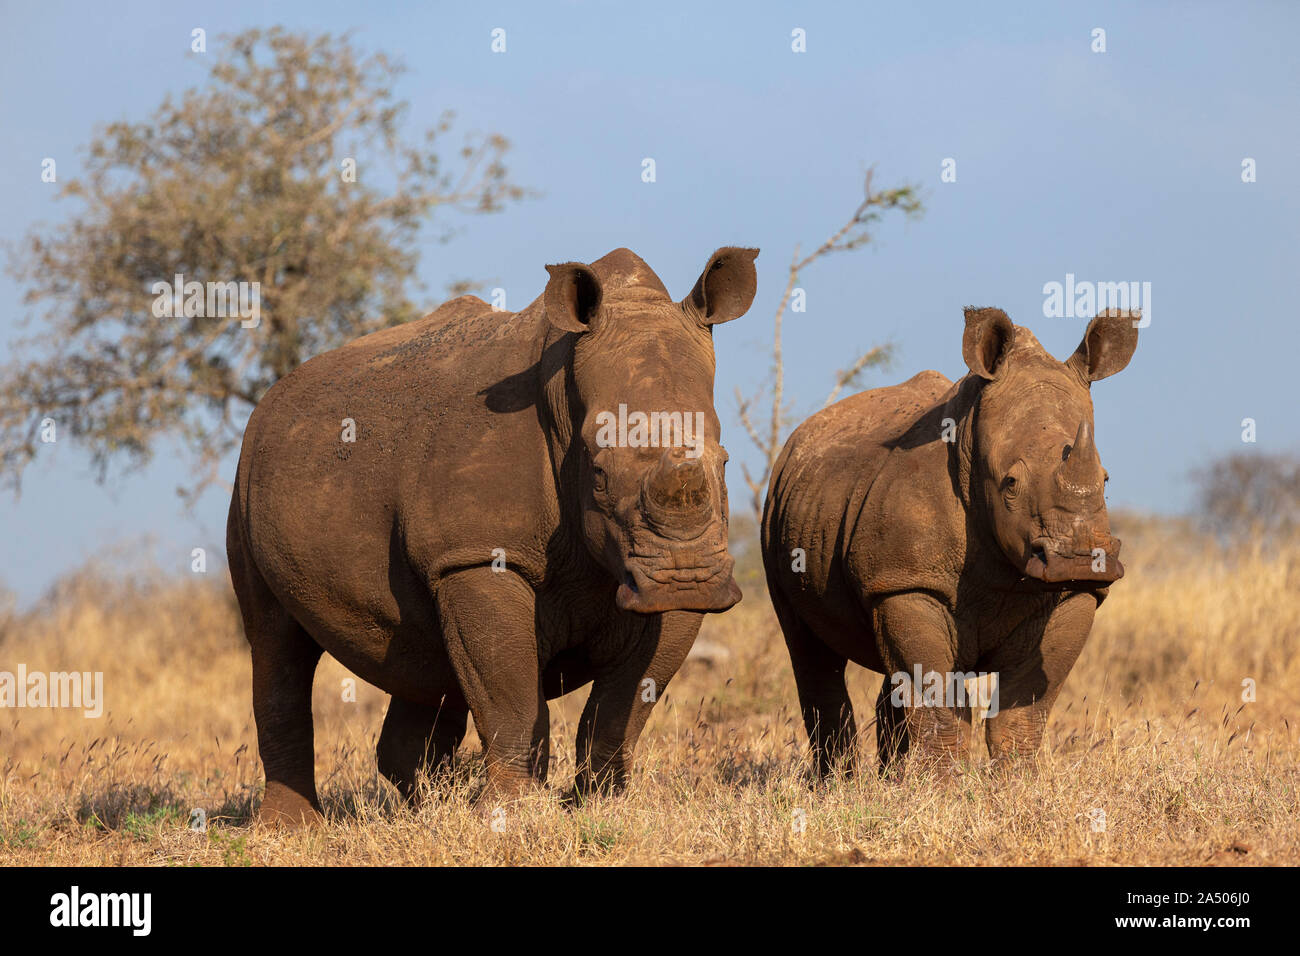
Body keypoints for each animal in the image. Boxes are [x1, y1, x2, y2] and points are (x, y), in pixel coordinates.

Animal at [227, 246, 759, 823]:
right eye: (597, 473)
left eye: (724, 463)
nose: (687, 577)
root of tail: (272, 398)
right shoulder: (475, 554)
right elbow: (509, 692)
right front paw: (511, 814)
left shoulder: (665, 574)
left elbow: (621, 709)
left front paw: (598, 806)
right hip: (245, 482)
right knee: (275, 641)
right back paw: (291, 830)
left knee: (423, 661)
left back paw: (427, 809)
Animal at [762, 307, 1139, 776]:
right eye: (1010, 483)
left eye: (1105, 481)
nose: (1081, 561)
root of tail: (800, 438)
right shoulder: (908, 581)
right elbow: (936, 693)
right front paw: (942, 785)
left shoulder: (1073, 594)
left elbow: (1025, 705)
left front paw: (1020, 781)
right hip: (777, 516)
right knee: (809, 649)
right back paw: (837, 782)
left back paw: (890, 778)